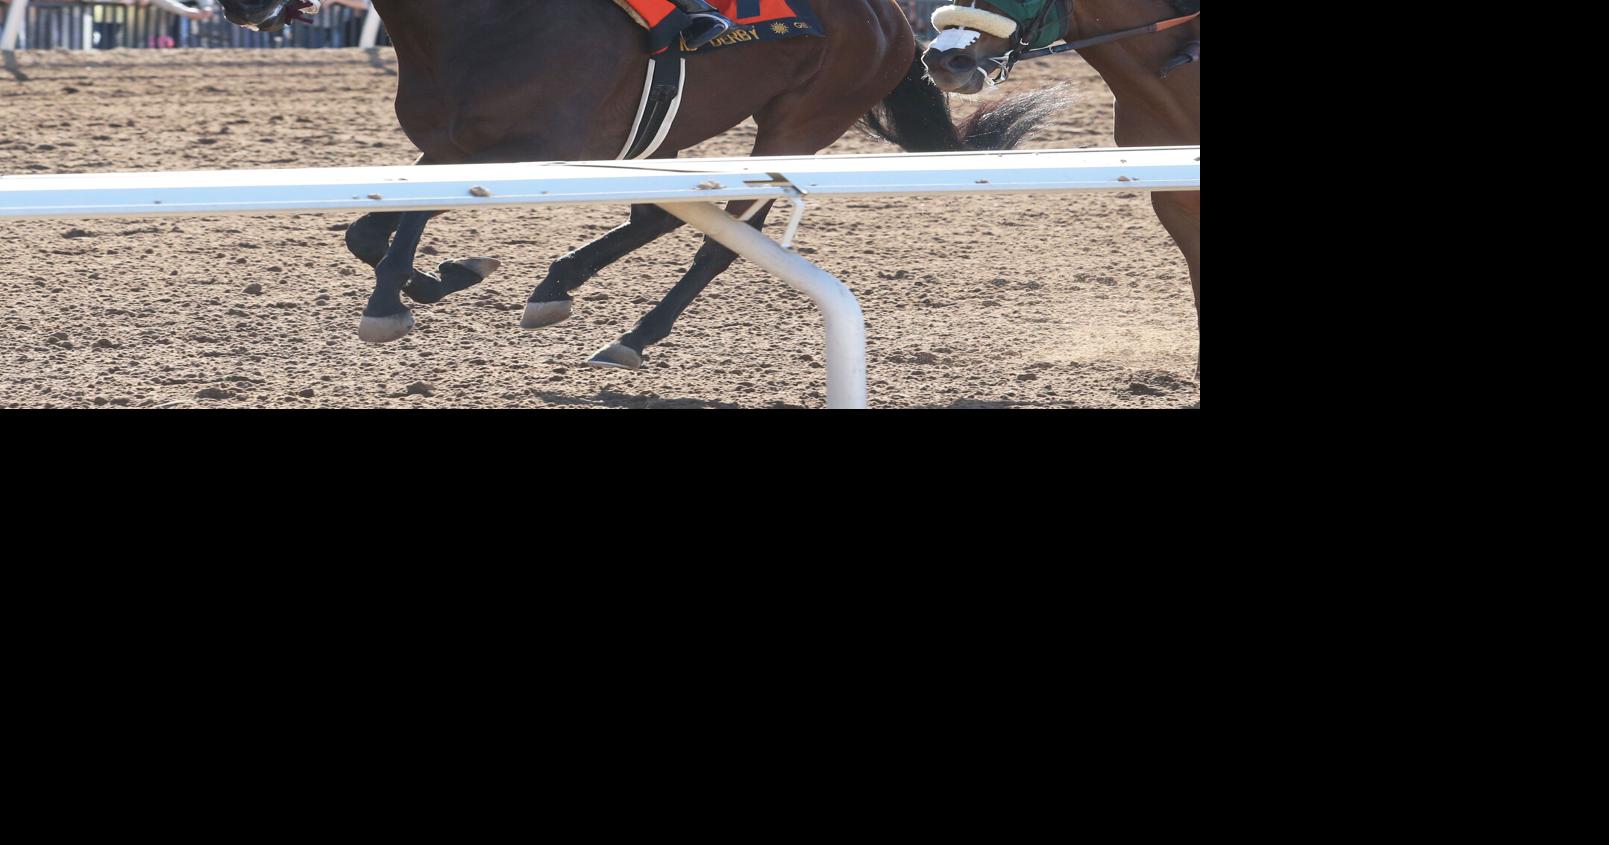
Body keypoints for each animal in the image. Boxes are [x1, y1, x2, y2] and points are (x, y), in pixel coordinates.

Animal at [215, 0, 1062, 369]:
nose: (237, 7)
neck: (478, 21)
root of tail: (893, 16)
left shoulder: (534, 146)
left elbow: (407, 221)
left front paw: (391, 302)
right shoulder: (453, 143)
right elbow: (369, 227)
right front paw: (443, 277)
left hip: (802, 119)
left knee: (720, 240)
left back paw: (634, 333)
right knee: (662, 214)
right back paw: (557, 283)